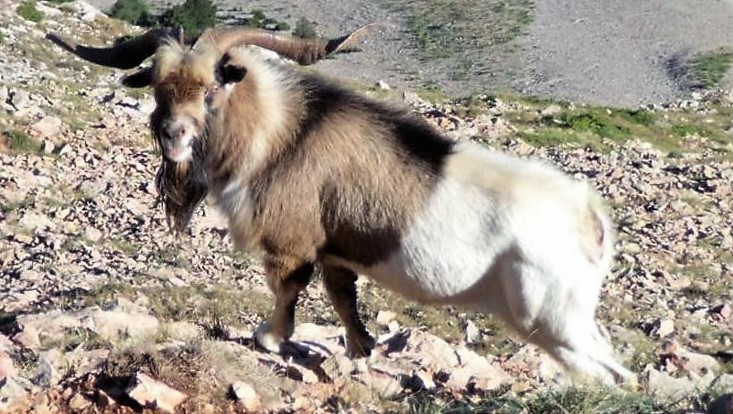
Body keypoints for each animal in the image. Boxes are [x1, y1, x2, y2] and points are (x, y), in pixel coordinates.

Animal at [48, 25, 635, 386]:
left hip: (549, 317)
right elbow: (344, 304)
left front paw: (270, 339)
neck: (281, 134)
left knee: (611, 376)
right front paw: (360, 351)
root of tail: (590, 220)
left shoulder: (291, 245)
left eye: (213, 86)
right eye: (157, 87)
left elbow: (287, 295)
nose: (173, 136)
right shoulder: (335, 256)